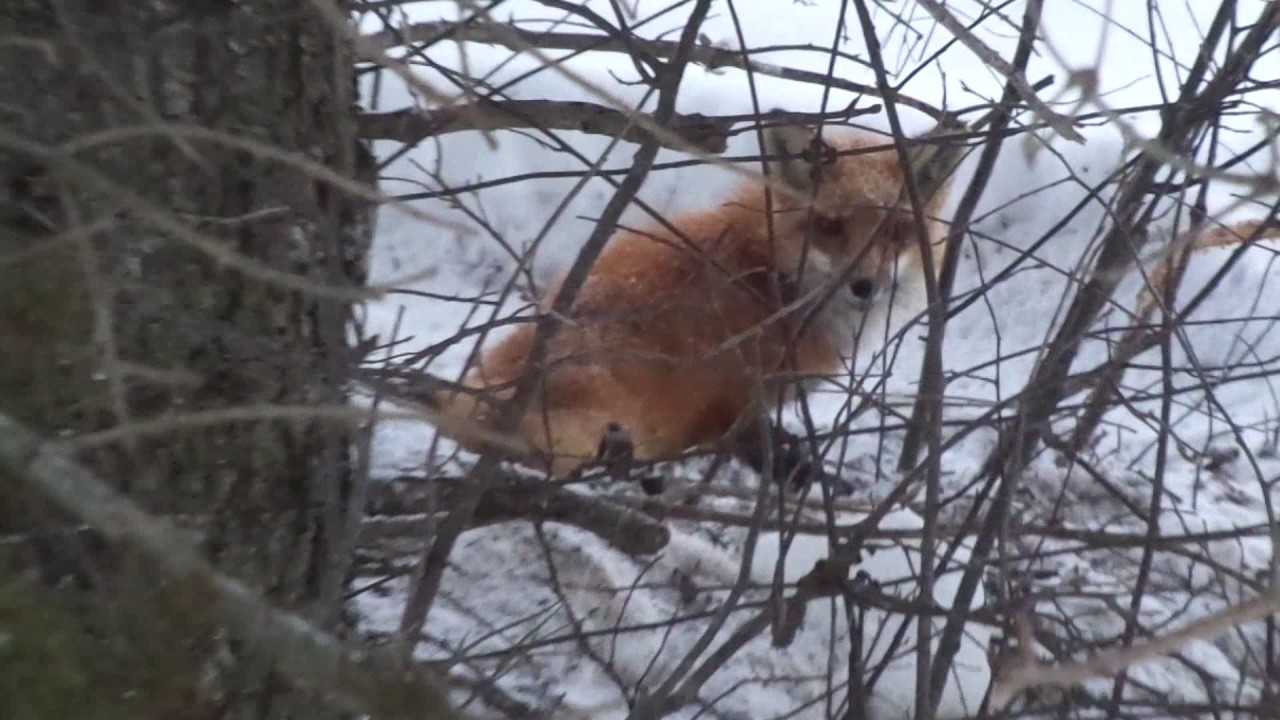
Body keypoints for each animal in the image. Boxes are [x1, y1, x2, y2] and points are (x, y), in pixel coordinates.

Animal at [388, 120, 956, 489]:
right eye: (831, 227)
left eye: (898, 231)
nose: (866, 286)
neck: (771, 278)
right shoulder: (737, 397)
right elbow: (767, 450)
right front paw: (811, 480)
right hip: (597, 415)